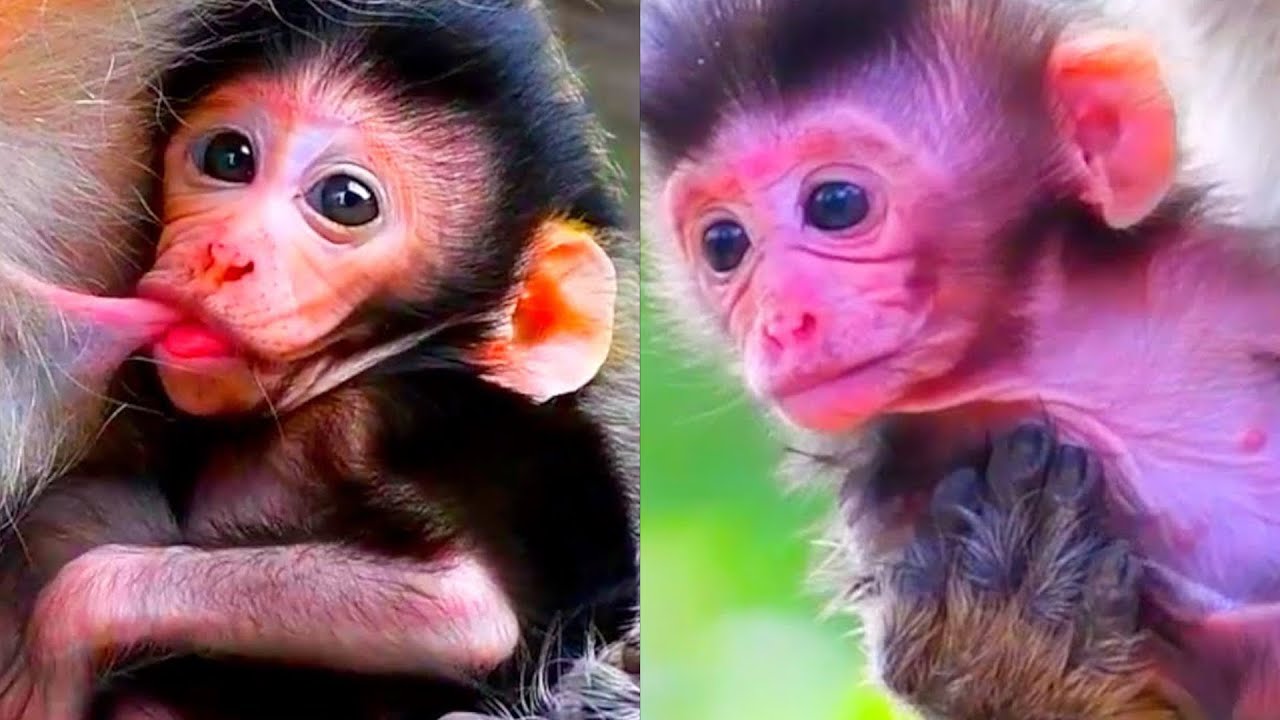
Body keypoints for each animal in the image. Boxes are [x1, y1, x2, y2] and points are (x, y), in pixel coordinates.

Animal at [0, 0, 639, 718]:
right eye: (228, 157)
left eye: (345, 200)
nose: (223, 254)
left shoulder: (392, 418)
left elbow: (463, 606)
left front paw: (65, 629)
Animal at [641, 0, 1280, 717]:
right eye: (724, 244)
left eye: (835, 204)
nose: (781, 322)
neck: (1057, 351)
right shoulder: (907, 488)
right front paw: (996, 660)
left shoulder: (1209, 279)